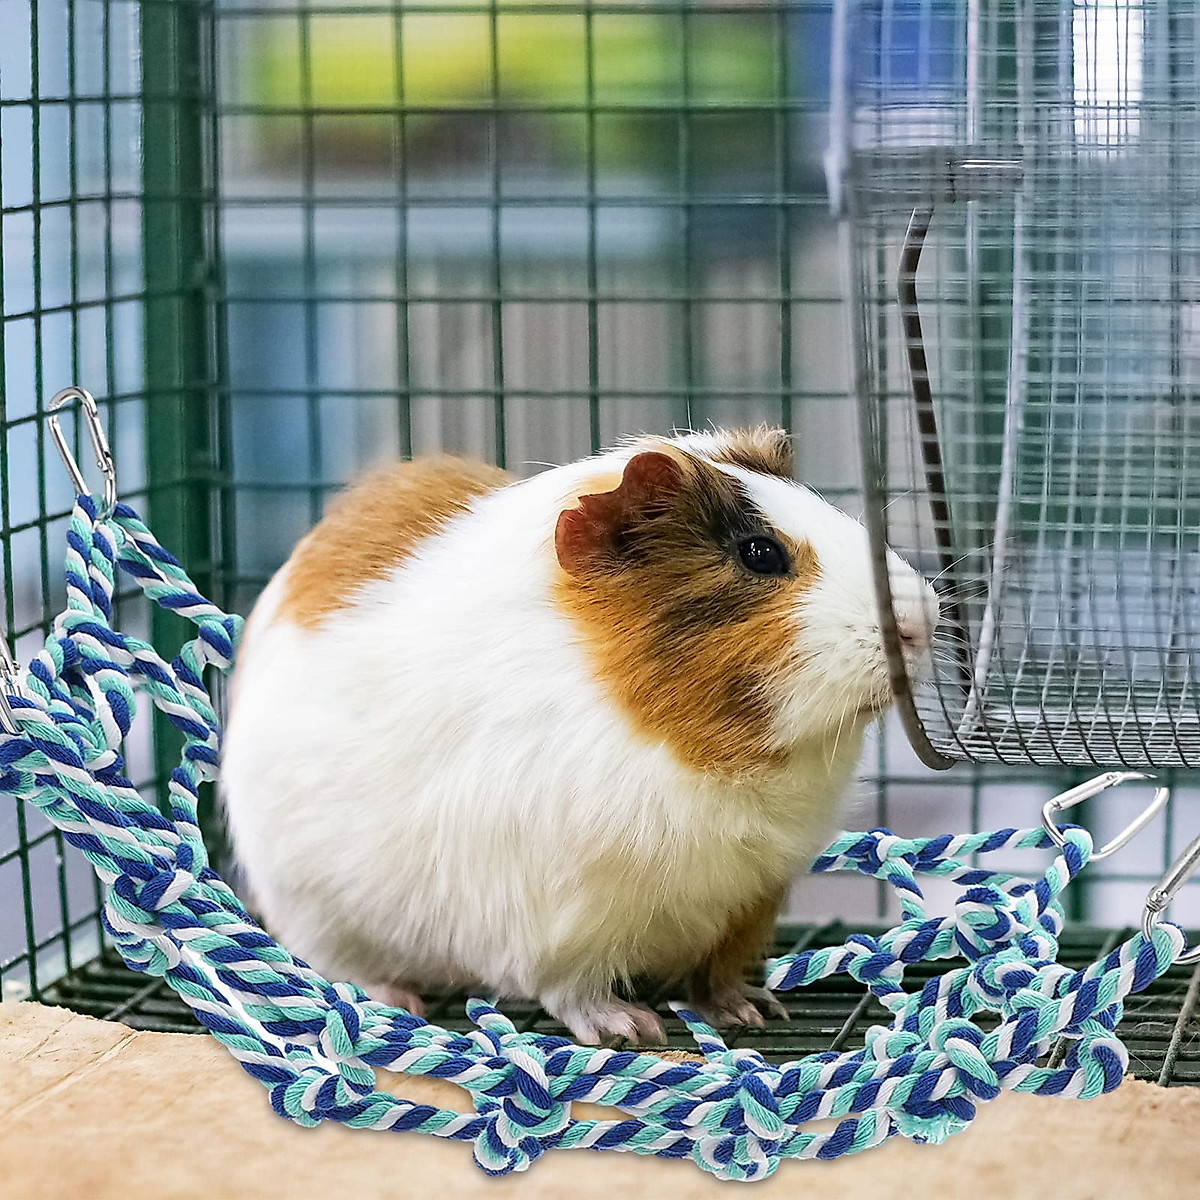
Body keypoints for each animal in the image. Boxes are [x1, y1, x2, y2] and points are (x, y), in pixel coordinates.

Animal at [220, 428, 939, 1044]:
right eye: (761, 554)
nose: (922, 617)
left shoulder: (748, 898)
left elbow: (715, 977)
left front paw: (754, 1012)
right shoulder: (559, 921)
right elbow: (573, 990)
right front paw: (631, 1029)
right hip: (316, 913)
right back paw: (399, 1000)